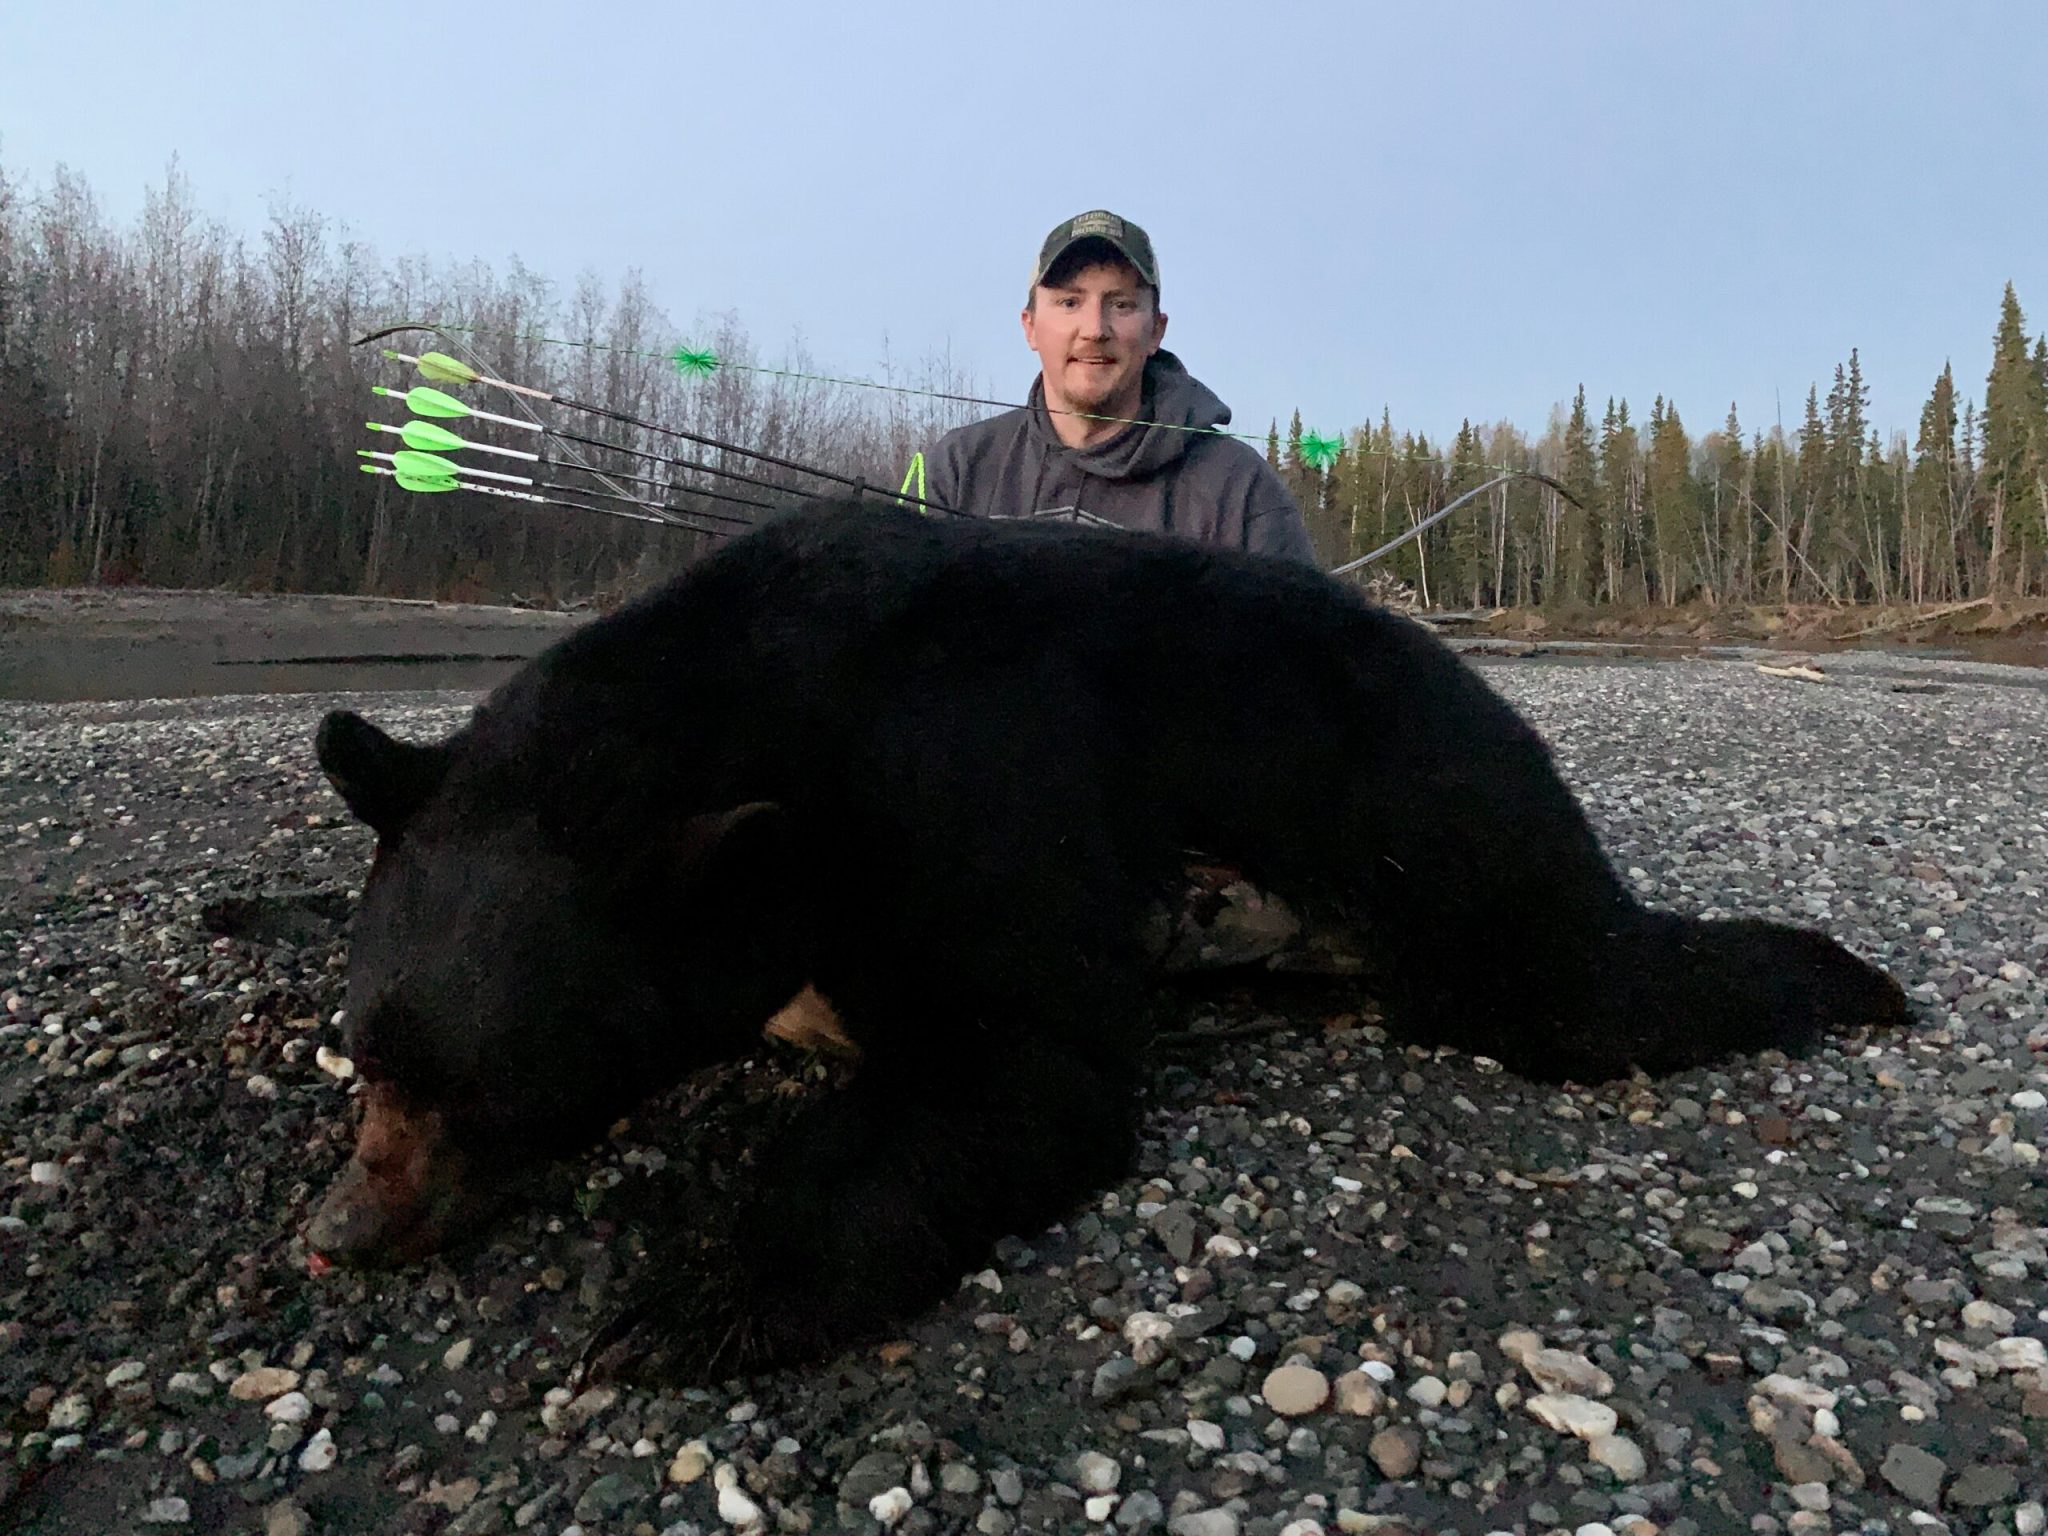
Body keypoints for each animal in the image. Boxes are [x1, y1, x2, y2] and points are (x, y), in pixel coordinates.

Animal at [304, 495, 1911, 1383]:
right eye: (366, 1056)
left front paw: (693, 1300)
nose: (343, 1233)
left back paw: (1837, 971)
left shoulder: (965, 770)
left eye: (493, 1093)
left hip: (1412, 786)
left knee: (1576, 978)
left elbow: (1017, 1063)